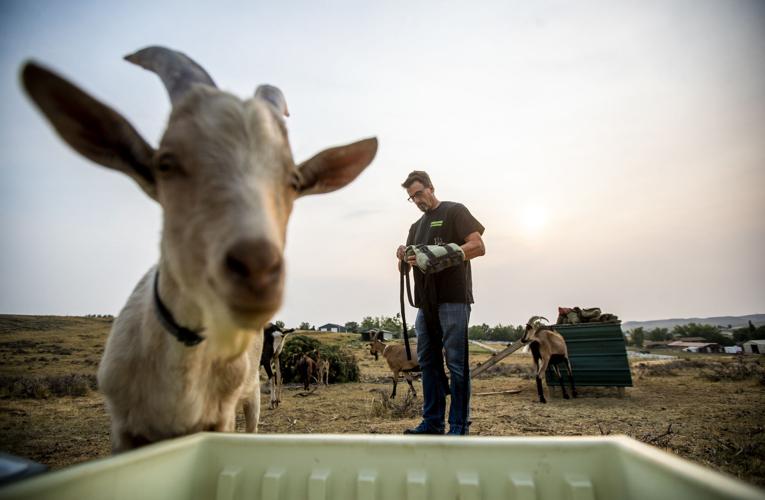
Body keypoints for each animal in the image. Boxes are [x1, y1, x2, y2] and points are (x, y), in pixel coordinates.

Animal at [21, 46, 377, 452]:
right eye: (164, 163)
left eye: (294, 180)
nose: (257, 271)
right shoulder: (123, 428)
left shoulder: (221, 418)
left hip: (249, 396)